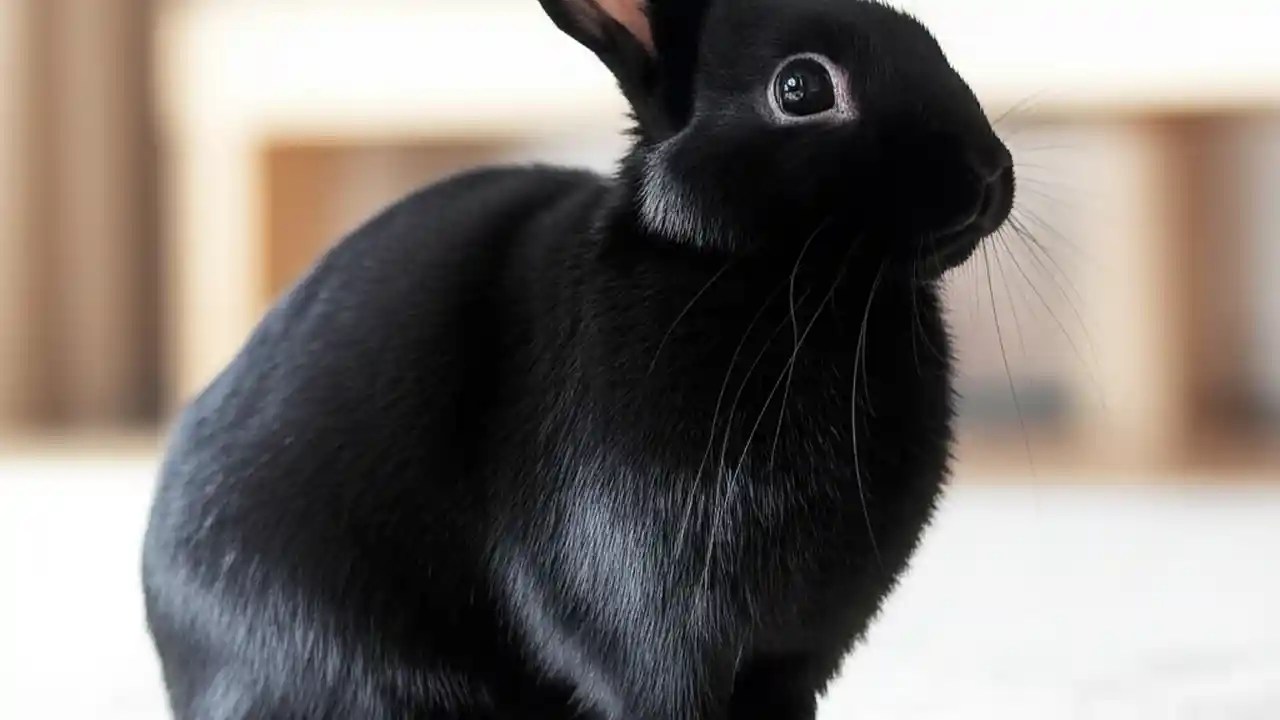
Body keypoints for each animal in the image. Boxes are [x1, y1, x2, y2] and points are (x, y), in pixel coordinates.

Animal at [142, 0, 1015, 718]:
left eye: (928, 39)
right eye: (800, 89)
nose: (989, 173)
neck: (784, 289)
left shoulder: (790, 660)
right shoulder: (660, 640)